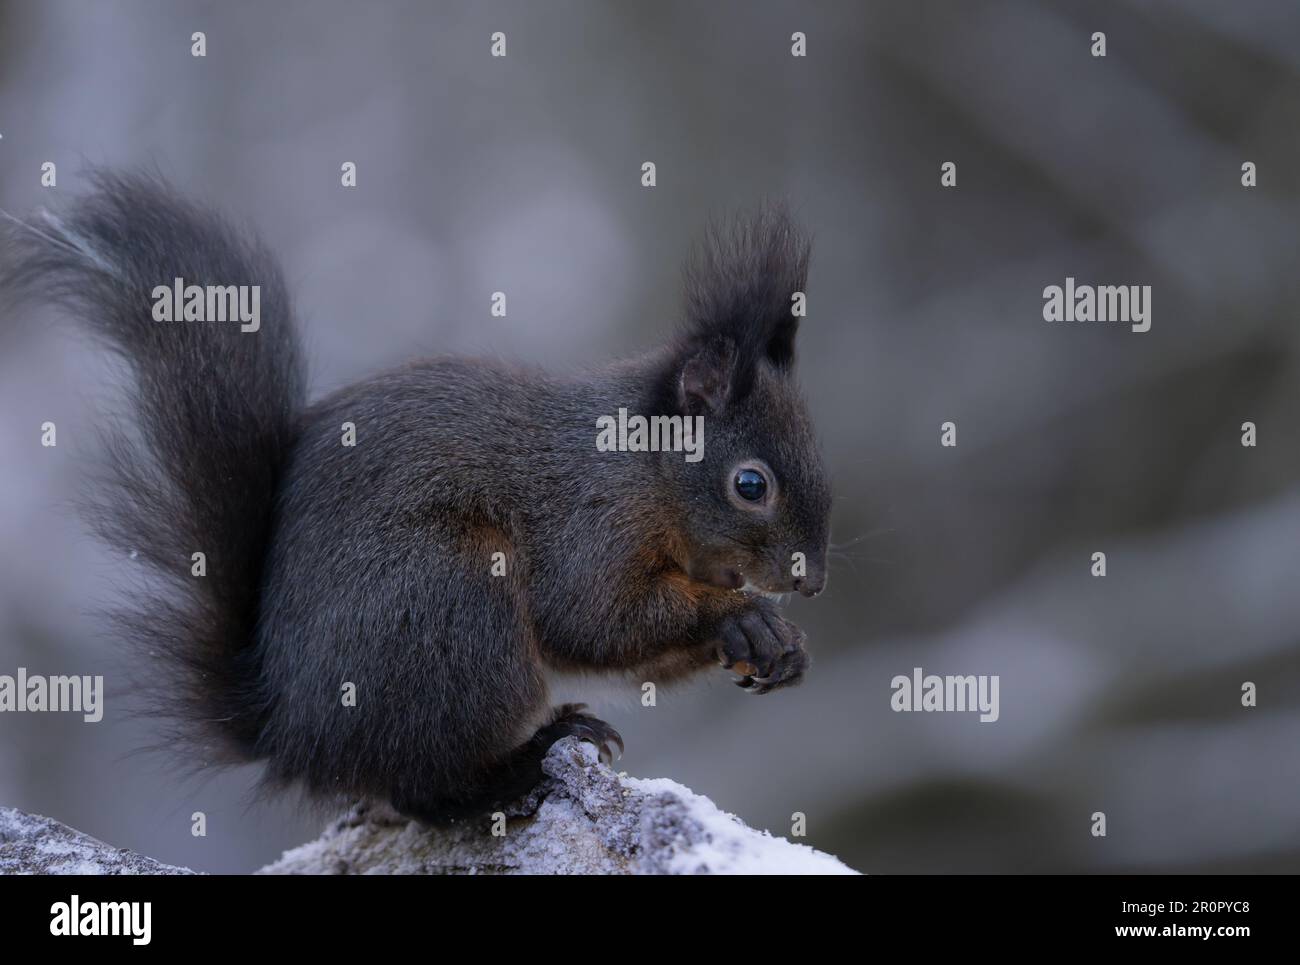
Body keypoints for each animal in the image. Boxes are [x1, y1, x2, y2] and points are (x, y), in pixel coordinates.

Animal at [1, 172, 831, 823]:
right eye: (750, 484)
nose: (812, 581)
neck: (644, 468)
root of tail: (291, 733)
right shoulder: (589, 520)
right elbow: (594, 619)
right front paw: (740, 617)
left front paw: (781, 643)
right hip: (451, 601)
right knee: (424, 789)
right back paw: (524, 761)